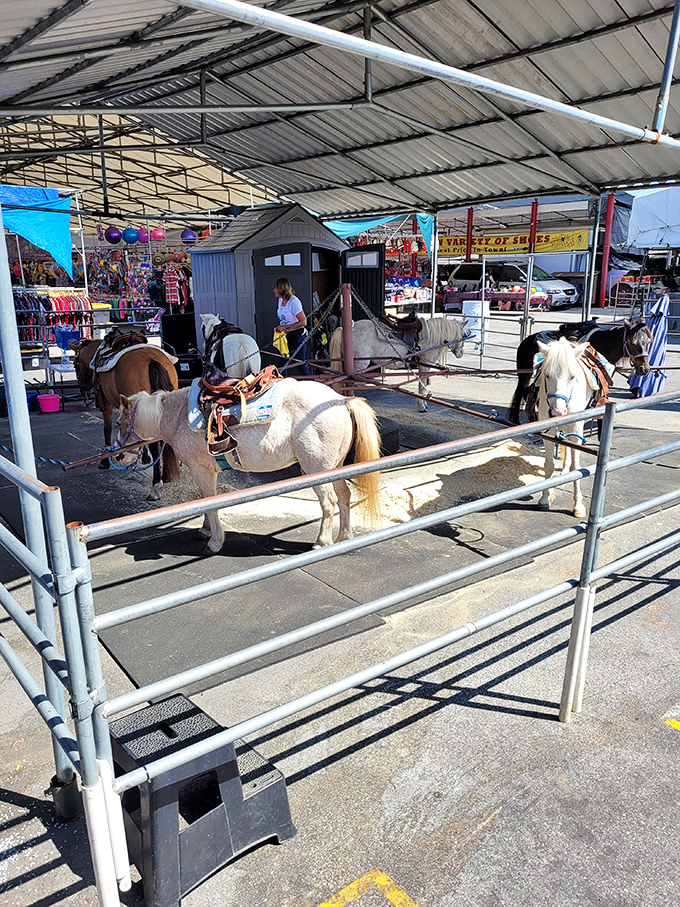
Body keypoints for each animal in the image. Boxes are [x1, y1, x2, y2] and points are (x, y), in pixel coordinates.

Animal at [69, 337, 180, 500]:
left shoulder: (107, 405)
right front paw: (145, 457)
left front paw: (104, 461)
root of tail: (152, 360)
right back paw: (166, 476)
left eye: (74, 364)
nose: (83, 390)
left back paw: (155, 487)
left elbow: (107, 430)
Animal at [115, 379, 382, 553]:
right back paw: (345, 537)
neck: (179, 416)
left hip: (317, 471)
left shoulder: (202, 470)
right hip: (335, 467)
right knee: (344, 496)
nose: (117, 458)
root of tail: (342, 400)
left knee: (329, 502)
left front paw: (214, 541)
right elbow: (205, 501)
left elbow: (211, 502)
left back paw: (322, 543)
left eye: (119, 422)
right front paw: (205, 530)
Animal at [328, 315, 467, 412]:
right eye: (464, 334)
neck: (431, 336)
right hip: (358, 367)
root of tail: (346, 329)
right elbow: (422, 386)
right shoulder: (424, 367)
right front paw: (421, 406)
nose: (461, 353)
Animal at [508, 317, 652, 424]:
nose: (644, 369)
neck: (604, 345)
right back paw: (515, 421)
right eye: (633, 343)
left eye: (649, 342)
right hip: (525, 376)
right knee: (520, 393)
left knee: (529, 392)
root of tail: (525, 341)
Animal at [535, 337, 594, 519]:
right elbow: (548, 465)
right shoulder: (547, 432)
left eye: (573, 377)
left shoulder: (576, 431)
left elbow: (577, 467)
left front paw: (578, 506)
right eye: (547, 375)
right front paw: (544, 498)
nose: (558, 412)